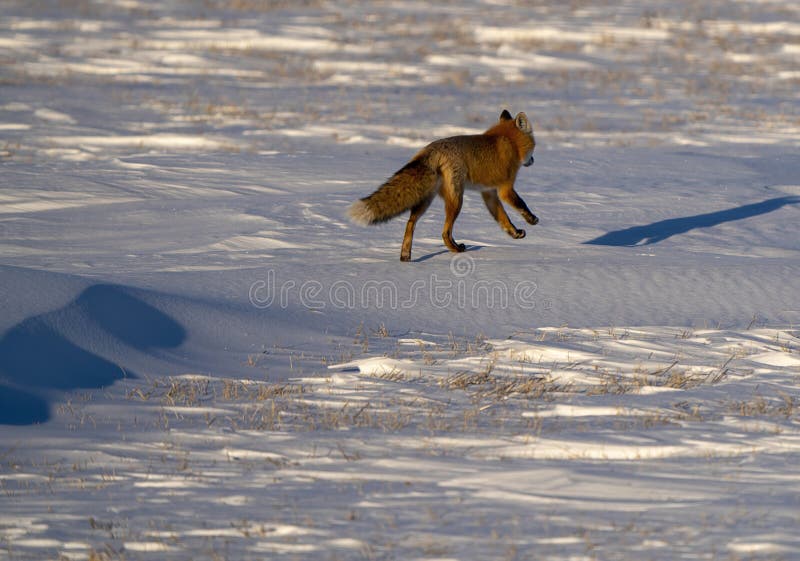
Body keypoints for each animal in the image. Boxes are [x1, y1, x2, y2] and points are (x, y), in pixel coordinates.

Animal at [348, 109, 538, 261]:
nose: (534, 160)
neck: (510, 142)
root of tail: (431, 149)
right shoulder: (505, 188)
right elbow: (521, 205)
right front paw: (532, 219)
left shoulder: (489, 192)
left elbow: (503, 219)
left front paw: (514, 233)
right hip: (457, 200)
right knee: (444, 232)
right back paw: (456, 249)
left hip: (426, 200)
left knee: (411, 223)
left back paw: (406, 256)